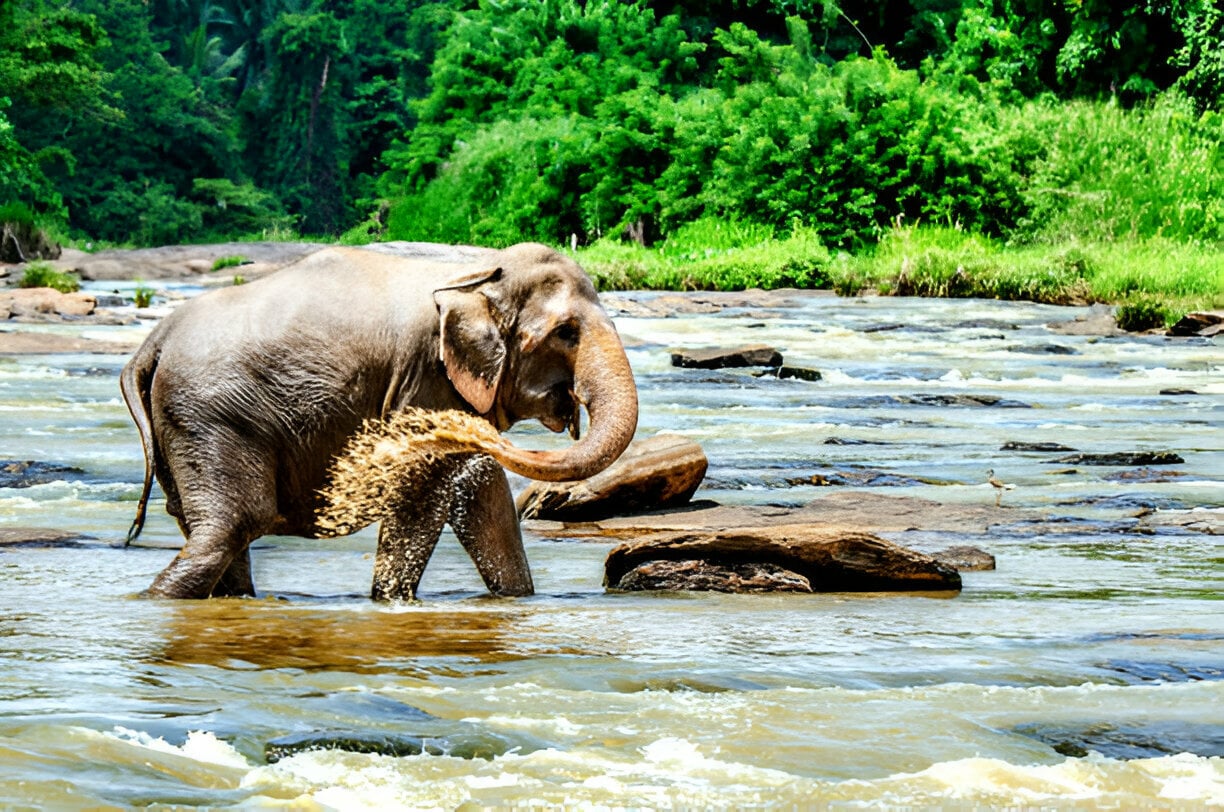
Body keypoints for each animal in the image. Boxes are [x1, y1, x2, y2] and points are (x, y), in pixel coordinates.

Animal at [123, 241, 641, 597]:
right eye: (566, 332)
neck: (475, 272)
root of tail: (151, 345)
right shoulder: (426, 377)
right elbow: (420, 490)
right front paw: (392, 602)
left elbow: (482, 492)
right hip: (212, 417)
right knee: (231, 527)